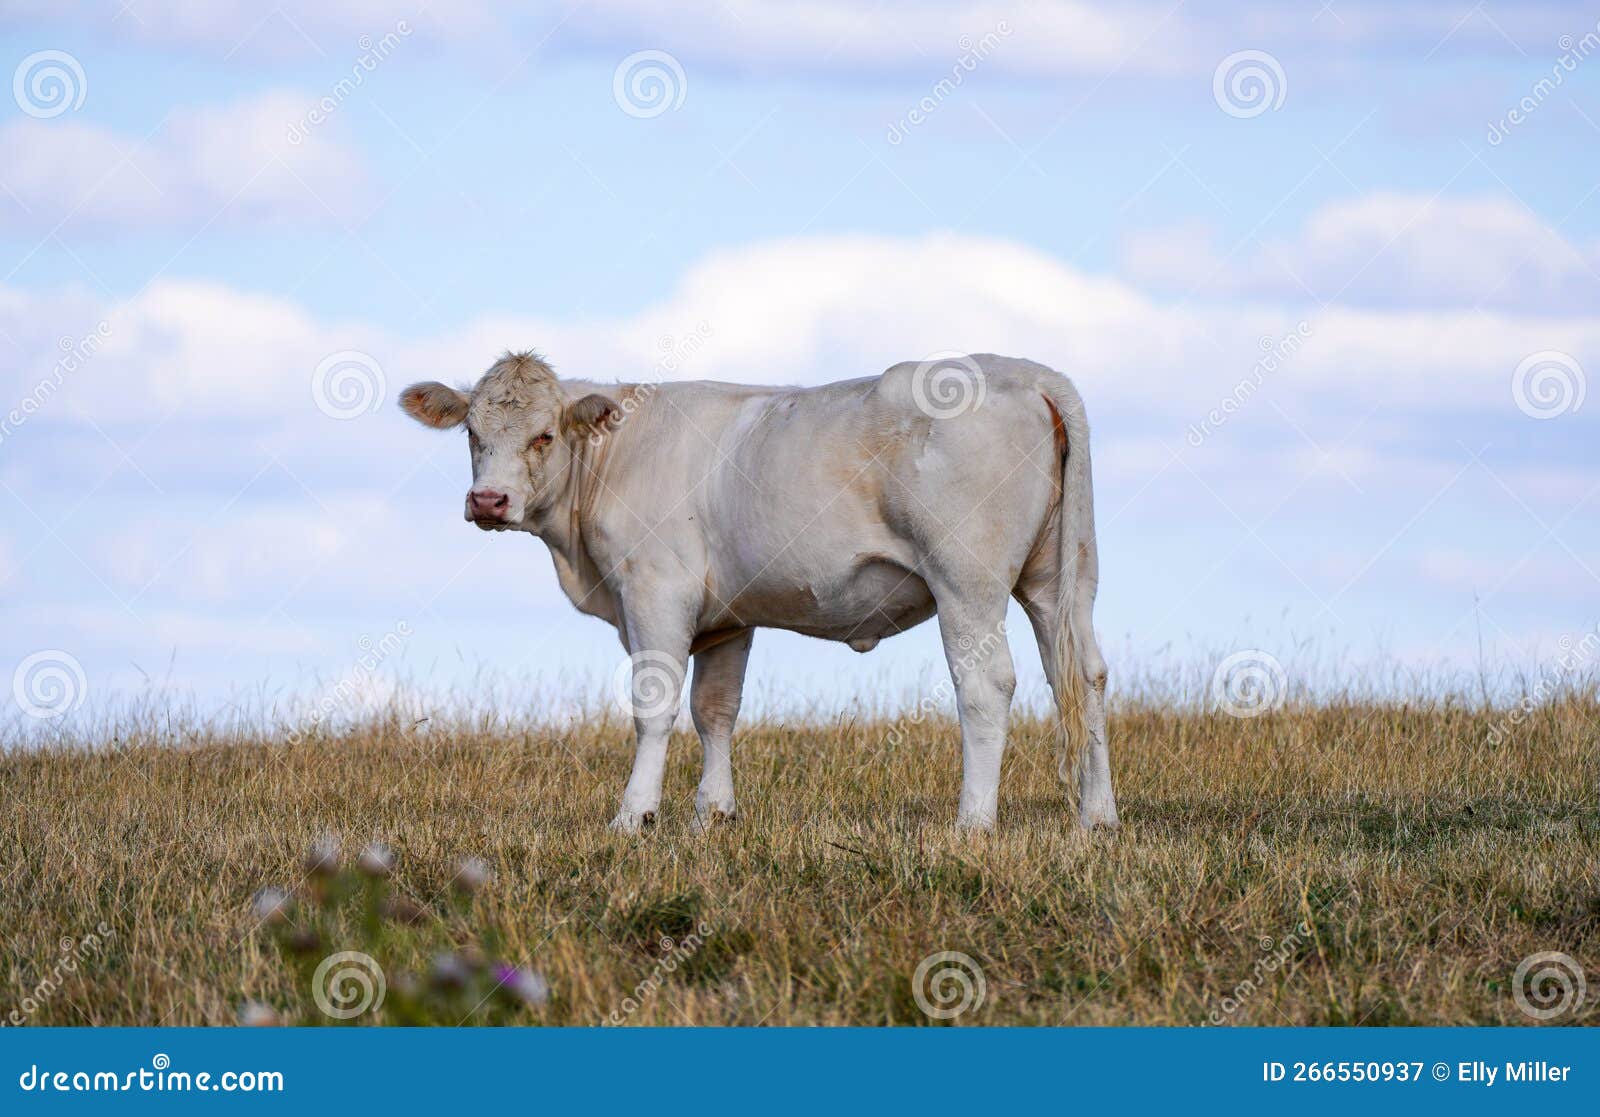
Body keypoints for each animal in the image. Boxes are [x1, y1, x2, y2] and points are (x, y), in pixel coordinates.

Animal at [400, 351, 1117, 834]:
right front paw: (713, 814)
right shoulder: (728, 616)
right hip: (1061, 577)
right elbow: (715, 710)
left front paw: (634, 817)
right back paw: (1098, 817)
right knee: (1083, 673)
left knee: (987, 684)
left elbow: (654, 706)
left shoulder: (655, 592)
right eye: (472, 433)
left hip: (967, 577)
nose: (488, 500)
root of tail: (1026, 373)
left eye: (544, 435)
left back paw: (973, 822)